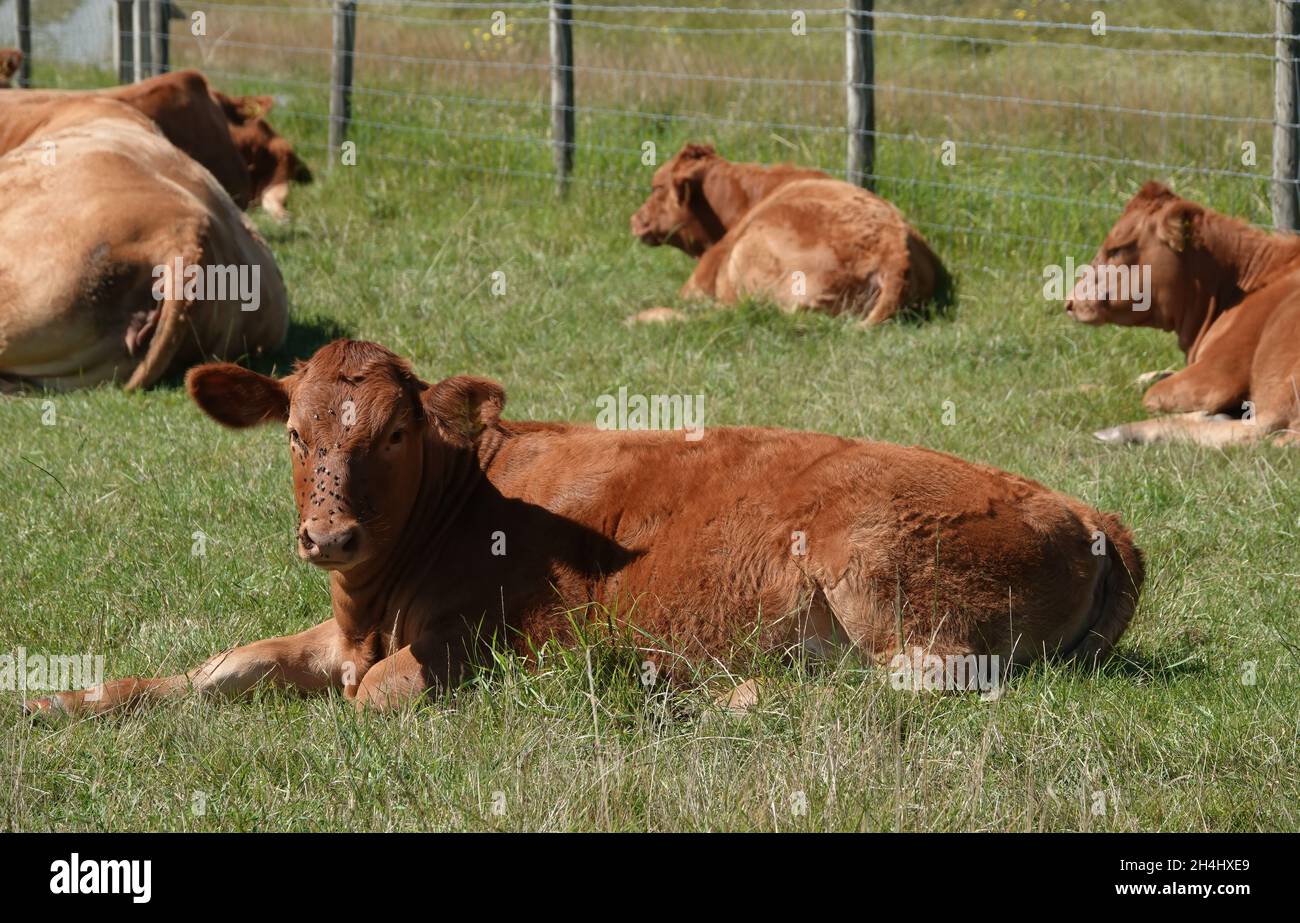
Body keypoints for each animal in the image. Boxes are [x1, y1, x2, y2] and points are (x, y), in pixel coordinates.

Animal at [22, 339, 1144, 716]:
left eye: (395, 431)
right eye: (293, 431)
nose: (329, 537)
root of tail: (1085, 506)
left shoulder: (468, 646)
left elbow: (372, 699)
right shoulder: (335, 632)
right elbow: (214, 667)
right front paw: (59, 700)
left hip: (881, 573)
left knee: (918, 682)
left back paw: (717, 693)